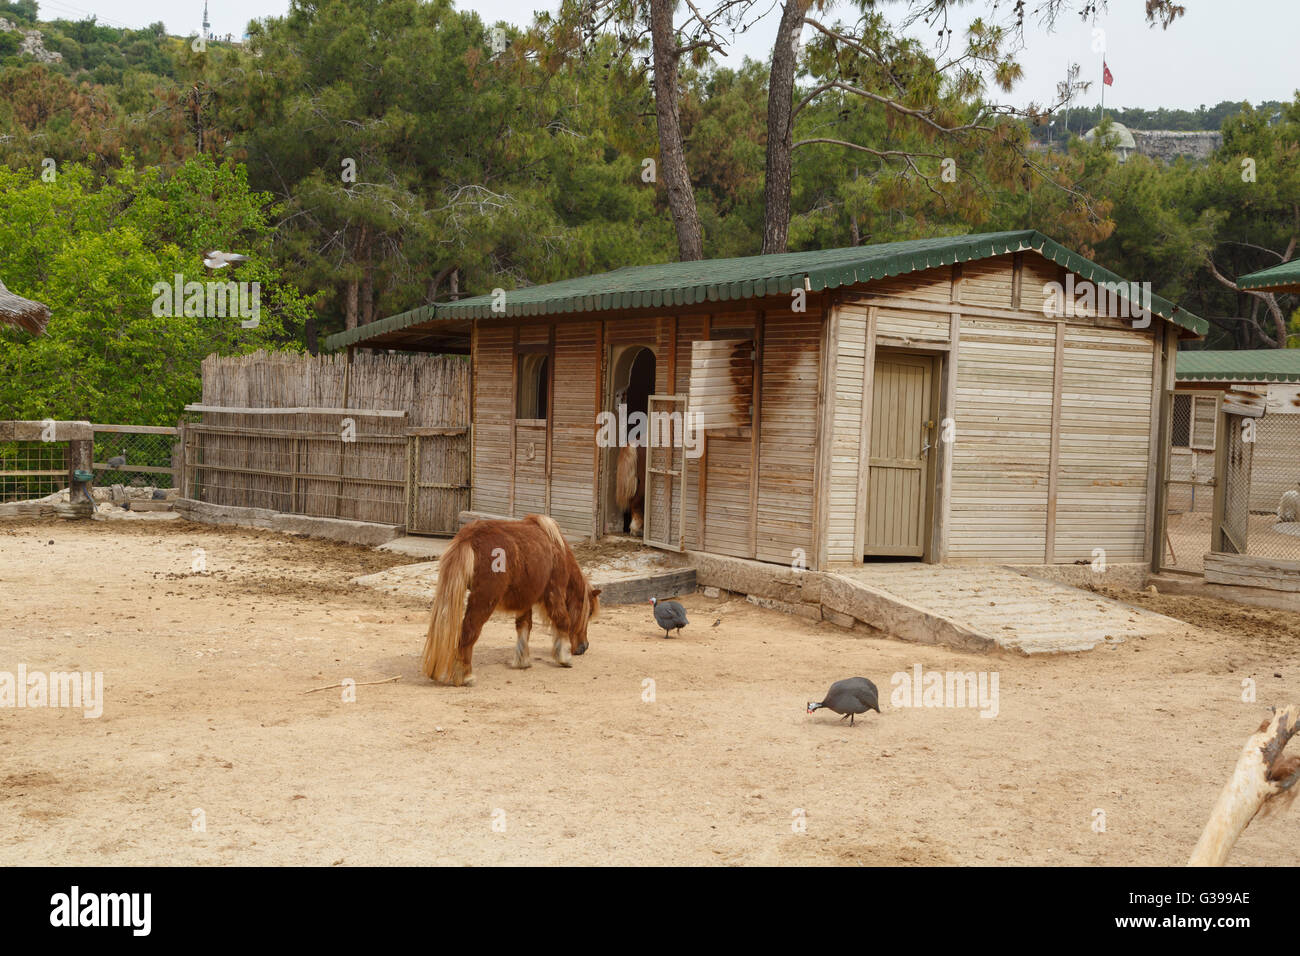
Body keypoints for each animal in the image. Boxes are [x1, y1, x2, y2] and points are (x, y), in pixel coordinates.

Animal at [420, 513, 601, 687]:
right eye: (589, 612)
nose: (584, 647)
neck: (557, 549)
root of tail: (469, 538)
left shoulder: (525, 601)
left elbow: (524, 627)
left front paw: (522, 661)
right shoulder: (554, 593)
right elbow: (563, 620)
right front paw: (564, 658)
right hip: (484, 600)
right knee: (468, 632)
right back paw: (465, 677)